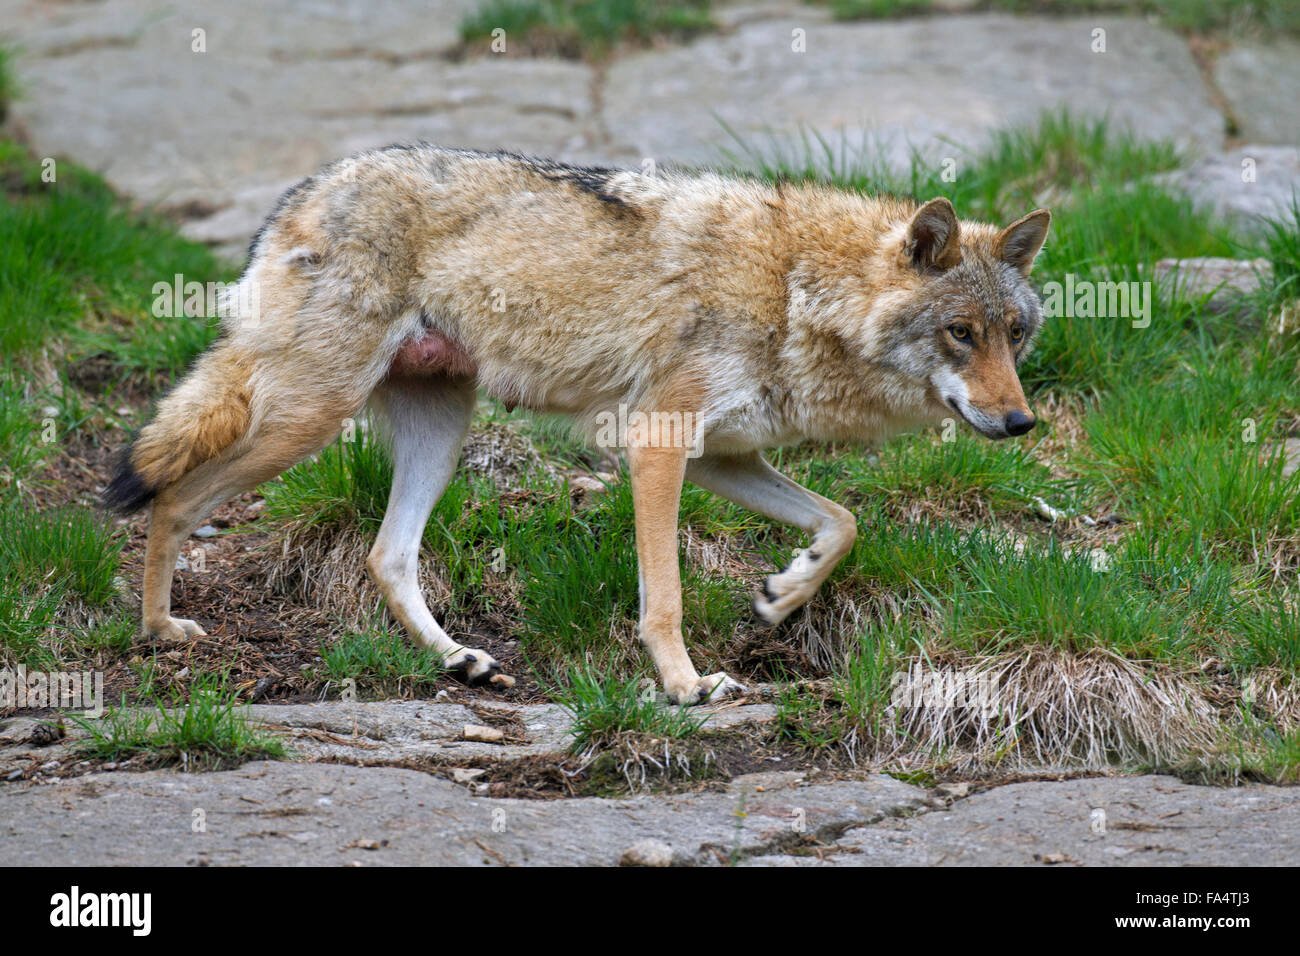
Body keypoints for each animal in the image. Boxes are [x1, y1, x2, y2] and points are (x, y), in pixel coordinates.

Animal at [105, 145, 1050, 705]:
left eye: (1016, 333)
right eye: (960, 333)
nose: (1019, 422)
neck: (796, 290)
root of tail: (304, 191)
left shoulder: (720, 456)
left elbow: (843, 523)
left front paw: (782, 596)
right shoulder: (656, 441)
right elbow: (664, 595)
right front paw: (683, 685)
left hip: (437, 432)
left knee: (386, 555)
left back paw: (458, 660)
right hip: (307, 422)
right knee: (175, 499)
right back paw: (159, 633)